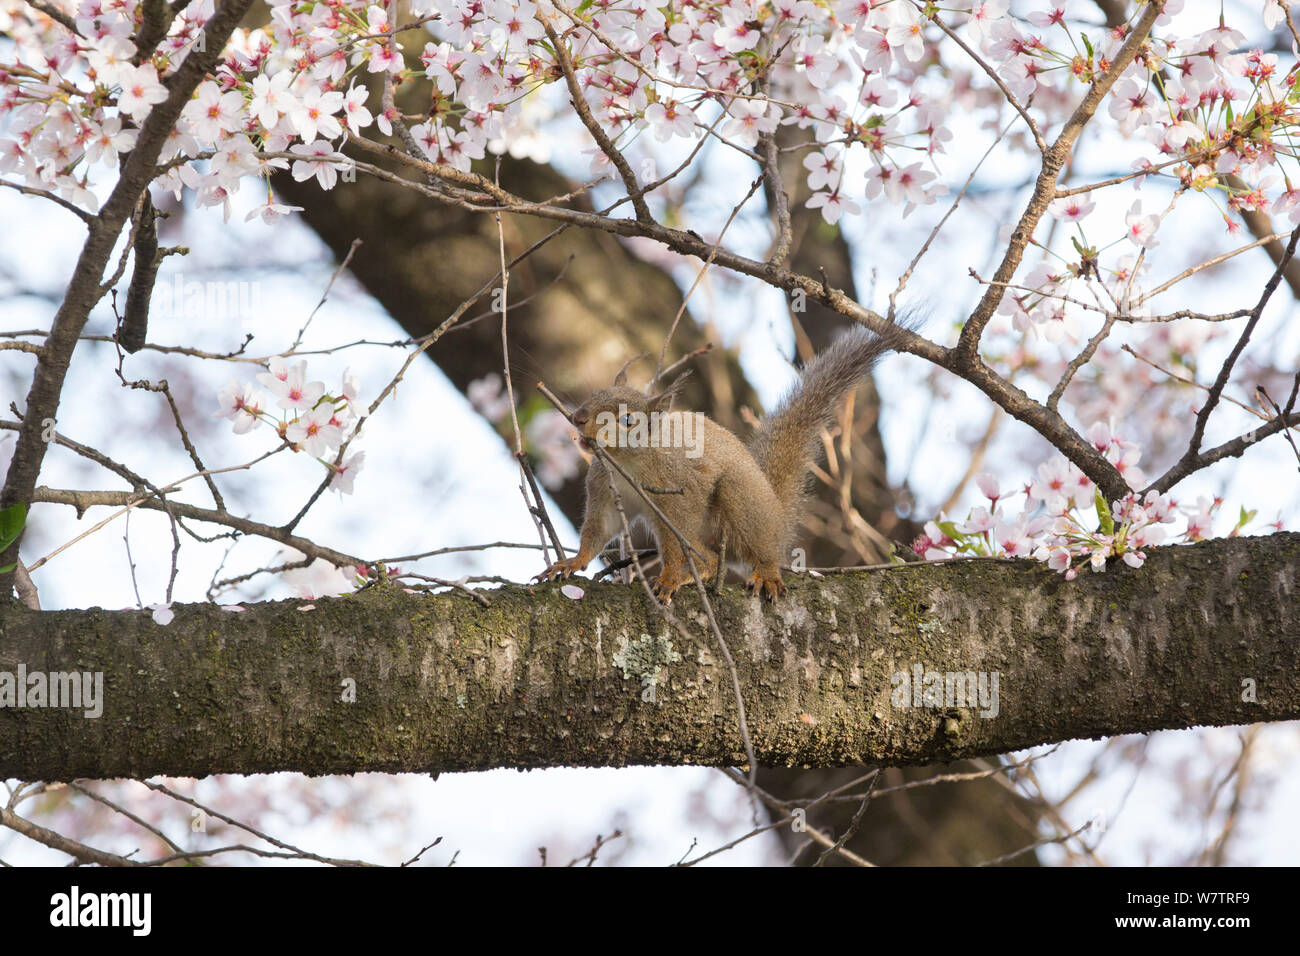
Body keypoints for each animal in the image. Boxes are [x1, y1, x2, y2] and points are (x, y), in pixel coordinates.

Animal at [536, 322, 909, 602]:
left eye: (629, 421)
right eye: (594, 395)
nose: (579, 418)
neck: (623, 463)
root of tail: (777, 513)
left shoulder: (679, 495)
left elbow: (674, 541)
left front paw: (669, 578)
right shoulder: (603, 489)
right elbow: (599, 530)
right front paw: (571, 562)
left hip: (740, 501)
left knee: (753, 550)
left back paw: (762, 573)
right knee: (714, 559)